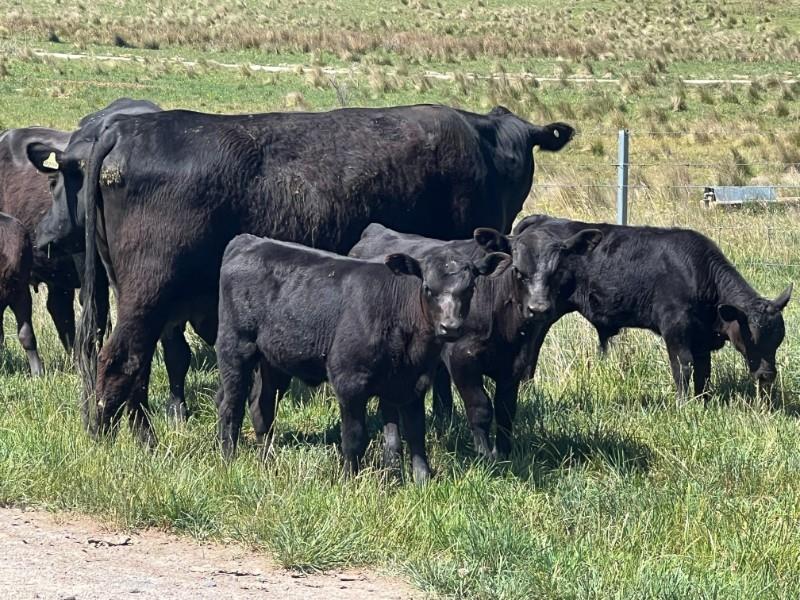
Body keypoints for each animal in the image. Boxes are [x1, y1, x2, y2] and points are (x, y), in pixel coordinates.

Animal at [26, 103, 574, 442]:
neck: (485, 148)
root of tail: (124, 131)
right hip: (149, 293)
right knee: (119, 362)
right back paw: (113, 440)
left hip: (136, 296)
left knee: (133, 366)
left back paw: (141, 437)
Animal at [216, 234, 510, 482]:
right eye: (428, 287)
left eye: (470, 288)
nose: (450, 327)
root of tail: (248, 240)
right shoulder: (349, 381)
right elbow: (355, 438)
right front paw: (349, 480)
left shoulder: (414, 383)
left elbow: (416, 433)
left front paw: (423, 480)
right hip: (236, 347)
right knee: (230, 405)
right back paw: (229, 459)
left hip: (274, 359)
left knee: (261, 406)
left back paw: (267, 460)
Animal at [349, 223, 600, 459]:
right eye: (518, 270)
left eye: (557, 271)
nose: (538, 309)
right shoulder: (462, 358)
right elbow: (480, 408)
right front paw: (484, 455)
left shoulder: (515, 363)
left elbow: (506, 410)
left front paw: (505, 453)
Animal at [504, 214, 791, 401]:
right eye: (751, 338)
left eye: (778, 339)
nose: (767, 375)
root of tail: (542, 219)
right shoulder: (675, 327)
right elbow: (683, 366)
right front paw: (684, 404)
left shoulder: (701, 337)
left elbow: (704, 370)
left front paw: (703, 401)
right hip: (542, 313)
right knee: (531, 347)